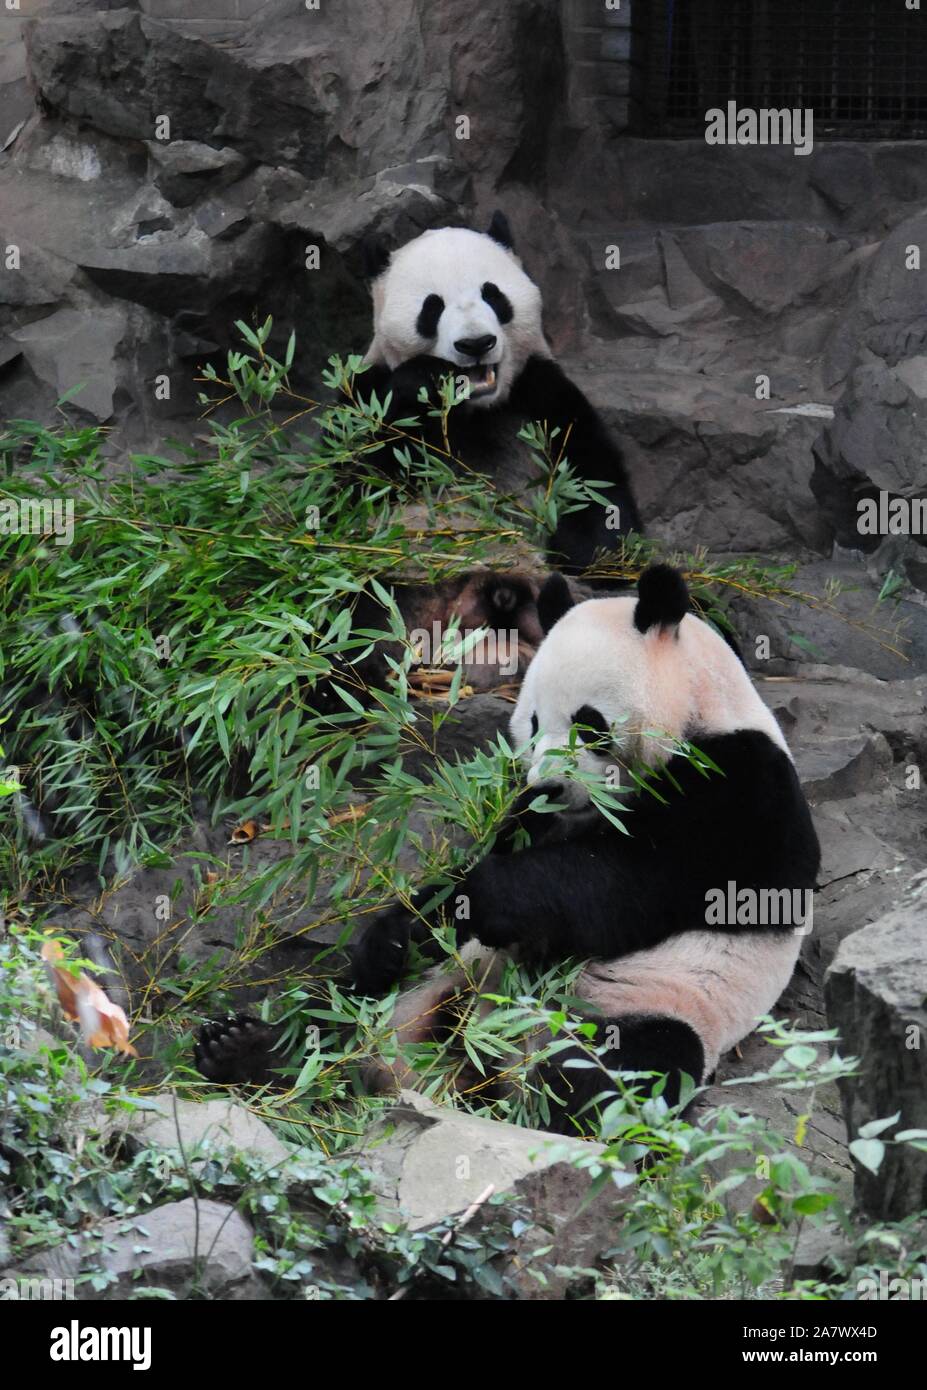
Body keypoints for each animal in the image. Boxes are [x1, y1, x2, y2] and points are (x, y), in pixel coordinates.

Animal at [196, 565, 820, 1135]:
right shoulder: (526, 818)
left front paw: (494, 895)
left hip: (649, 1002)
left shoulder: (743, 793)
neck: (704, 708)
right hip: (442, 982)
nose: (550, 786)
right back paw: (248, 1048)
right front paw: (398, 932)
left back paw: (539, 1107)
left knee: (623, 1071)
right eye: (534, 722)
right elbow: (462, 877)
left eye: (590, 724)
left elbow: (633, 883)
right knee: (341, 1007)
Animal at [357, 212, 641, 576]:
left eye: (492, 295)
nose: (476, 343)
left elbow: (597, 490)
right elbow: (351, 487)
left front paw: (589, 557)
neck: (476, 409)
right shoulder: (364, 390)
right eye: (432, 307)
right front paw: (423, 382)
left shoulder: (543, 395)